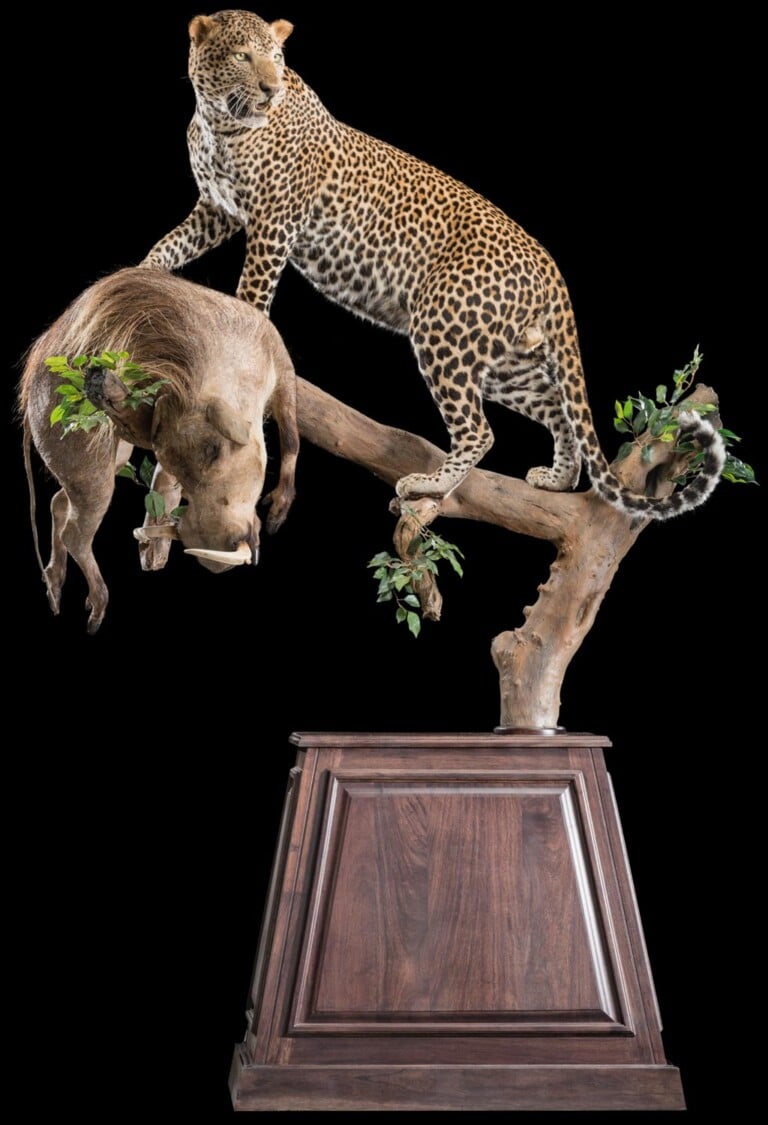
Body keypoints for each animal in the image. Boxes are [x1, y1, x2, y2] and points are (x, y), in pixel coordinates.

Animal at [140, 8, 724, 519]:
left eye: (277, 59)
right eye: (243, 56)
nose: (270, 88)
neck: (219, 124)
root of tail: (552, 270)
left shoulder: (272, 225)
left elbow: (253, 294)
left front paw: (243, 336)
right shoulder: (217, 210)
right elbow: (171, 245)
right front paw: (141, 277)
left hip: (444, 329)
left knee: (480, 430)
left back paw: (430, 484)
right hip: (505, 358)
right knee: (555, 407)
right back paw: (557, 480)